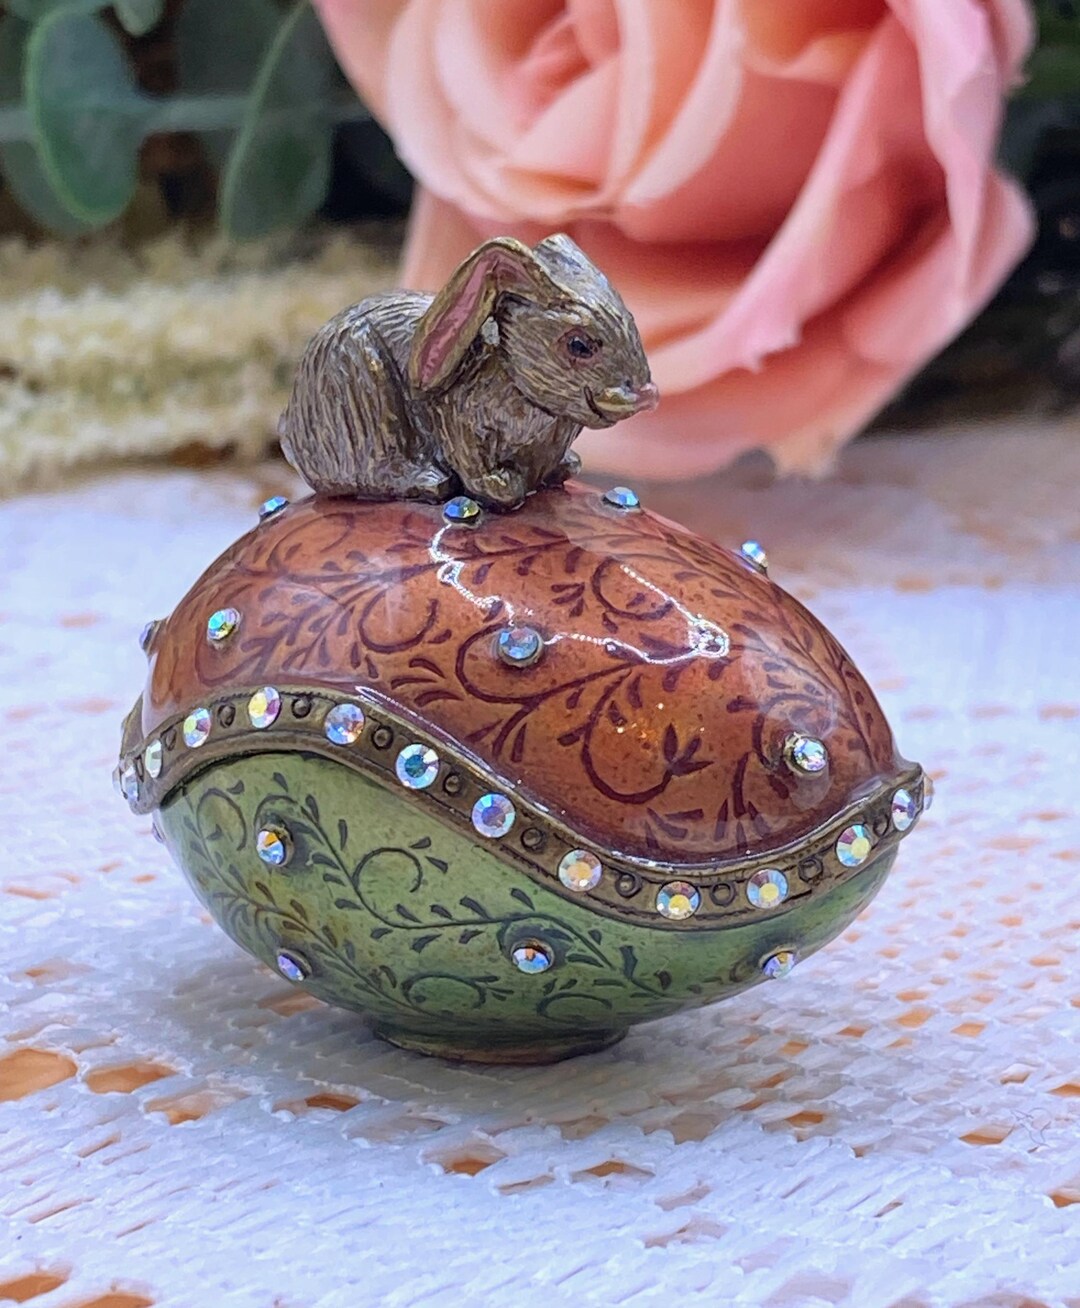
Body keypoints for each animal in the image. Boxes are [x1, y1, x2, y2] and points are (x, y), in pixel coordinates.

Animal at [279, 233, 659, 509]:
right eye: (579, 345)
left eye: (631, 320)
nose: (647, 394)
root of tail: (291, 430)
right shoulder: (458, 424)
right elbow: (480, 473)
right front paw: (502, 484)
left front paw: (563, 466)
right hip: (361, 382)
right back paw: (426, 479)